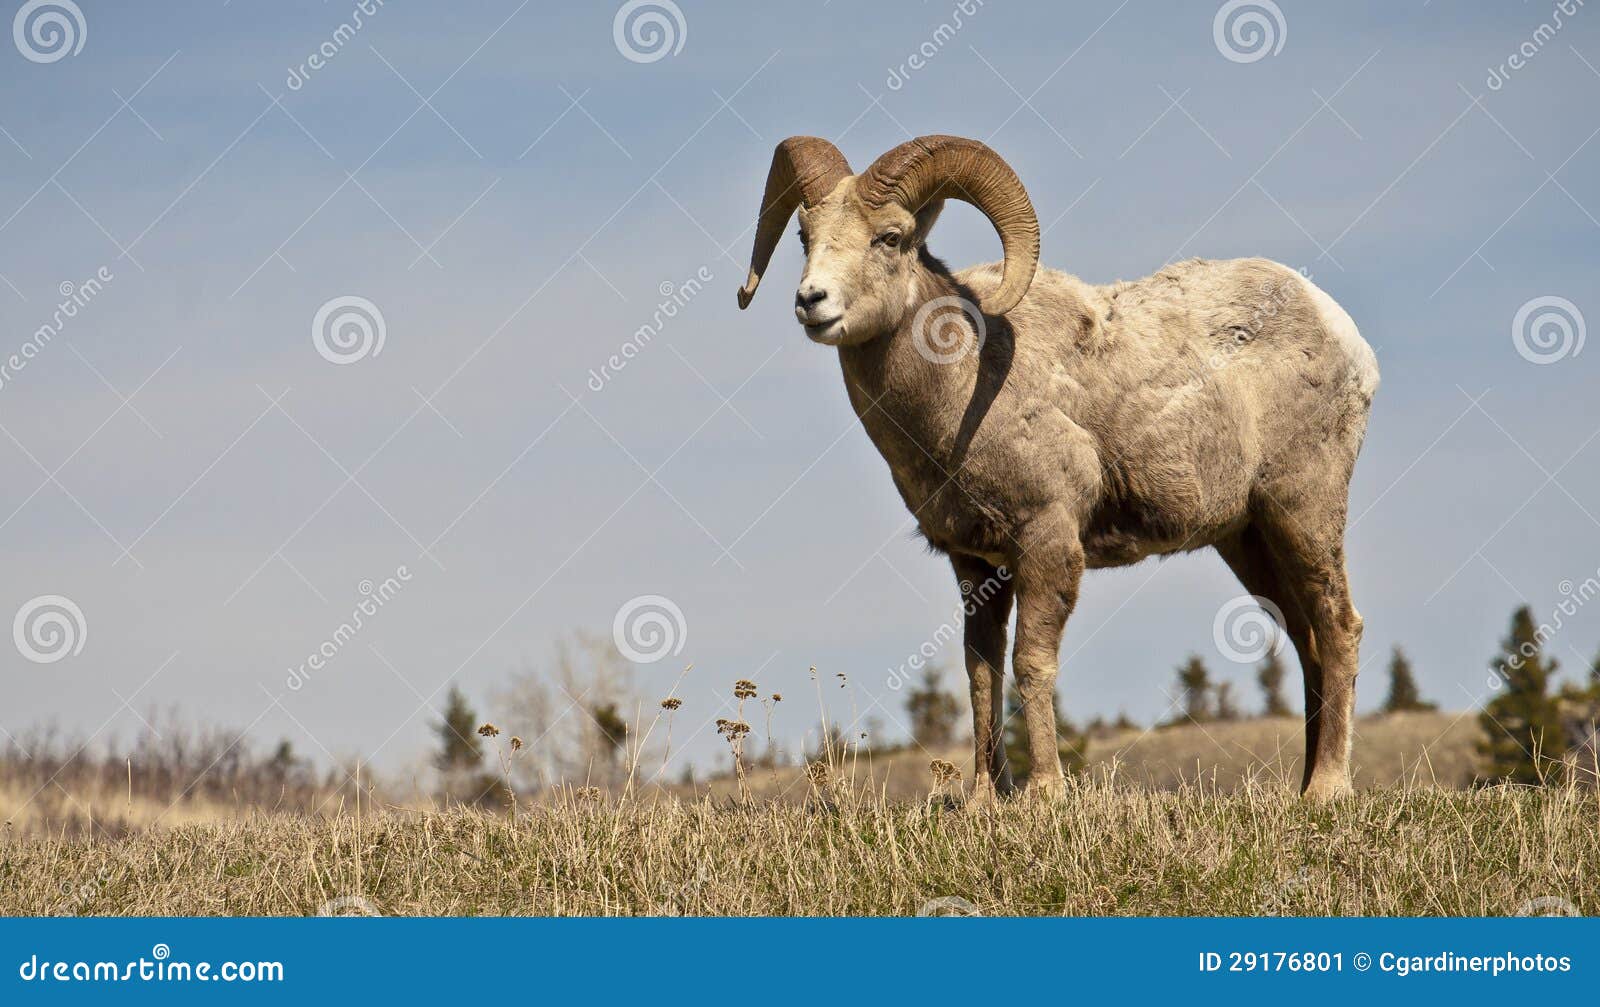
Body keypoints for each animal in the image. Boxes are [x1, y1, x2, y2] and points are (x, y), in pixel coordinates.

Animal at [736, 135, 1379, 802]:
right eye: (805, 235)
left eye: (888, 237)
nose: (811, 302)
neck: (962, 391)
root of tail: (1342, 333)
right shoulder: (975, 565)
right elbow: (981, 674)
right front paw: (983, 800)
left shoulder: (1047, 543)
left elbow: (1030, 664)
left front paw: (1045, 794)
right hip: (1248, 540)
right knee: (1305, 640)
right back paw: (1302, 786)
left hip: (1302, 511)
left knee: (1339, 627)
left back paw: (1328, 788)